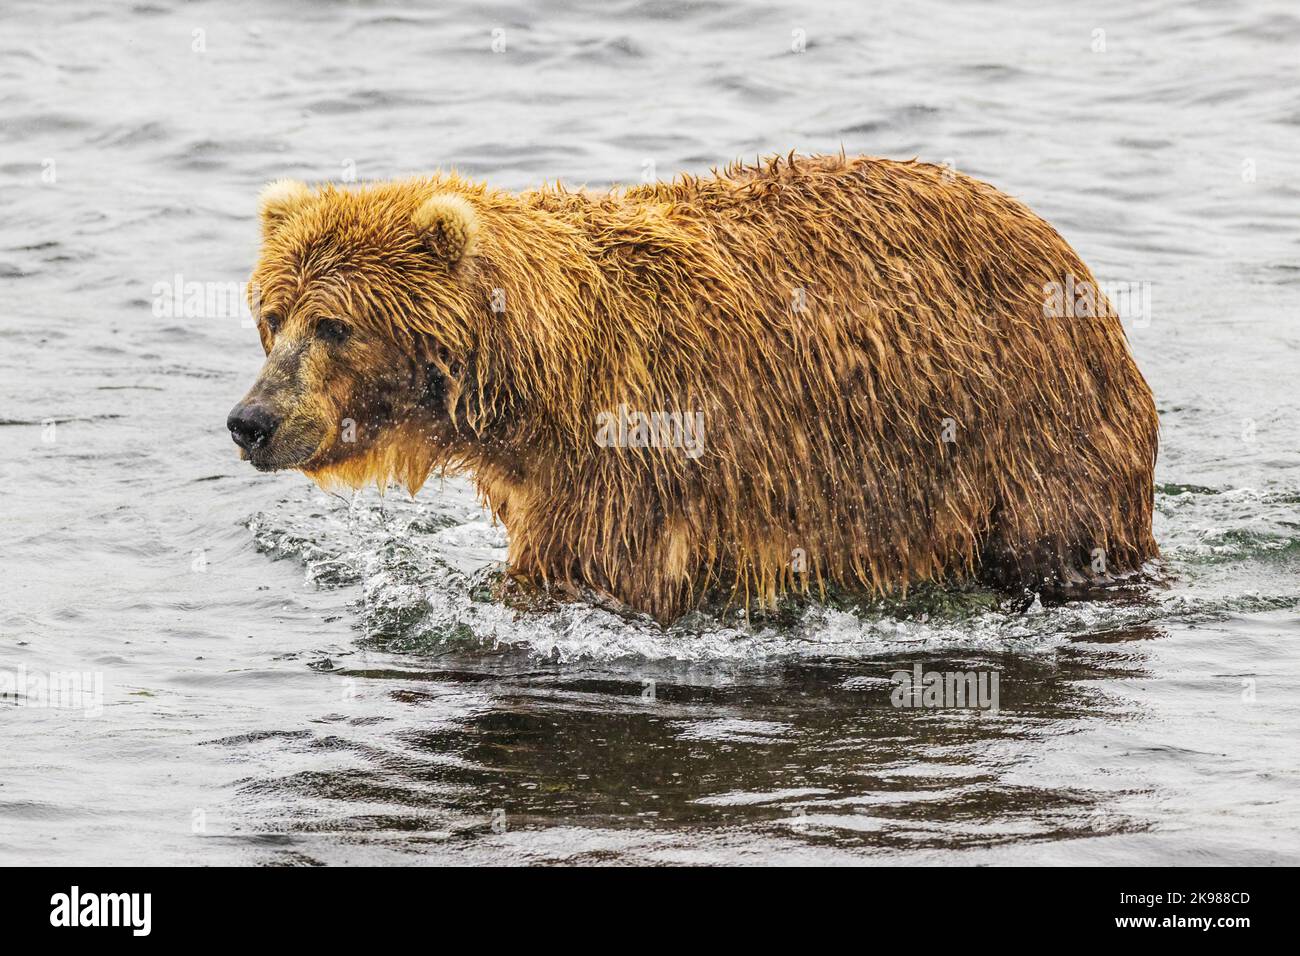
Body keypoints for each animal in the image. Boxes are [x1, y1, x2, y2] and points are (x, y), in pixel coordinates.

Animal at [227, 153, 1159, 624]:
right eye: (274, 316)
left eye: (333, 325)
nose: (252, 420)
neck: (538, 377)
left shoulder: (629, 454)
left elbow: (584, 575)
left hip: (1027, 424)